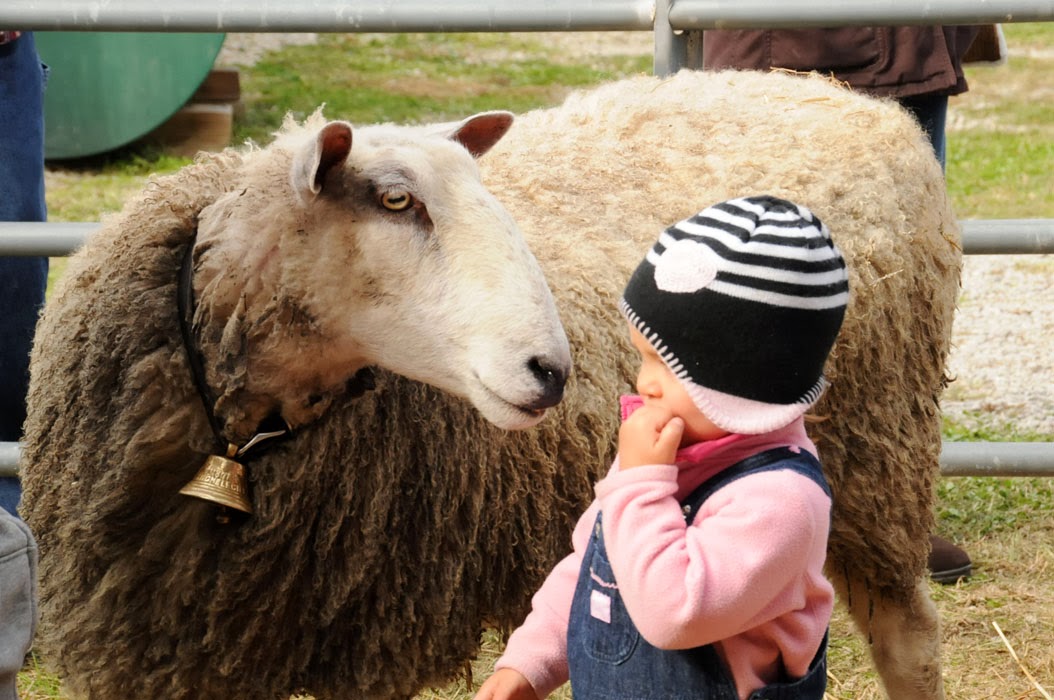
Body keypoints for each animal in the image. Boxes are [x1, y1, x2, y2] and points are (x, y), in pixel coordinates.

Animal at [20, 69, 959, 700]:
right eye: (395, 200)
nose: (553, 371)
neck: (242, 443)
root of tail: (852, 101)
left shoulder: (367, 639)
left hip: (880, 452)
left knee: (907, 635)